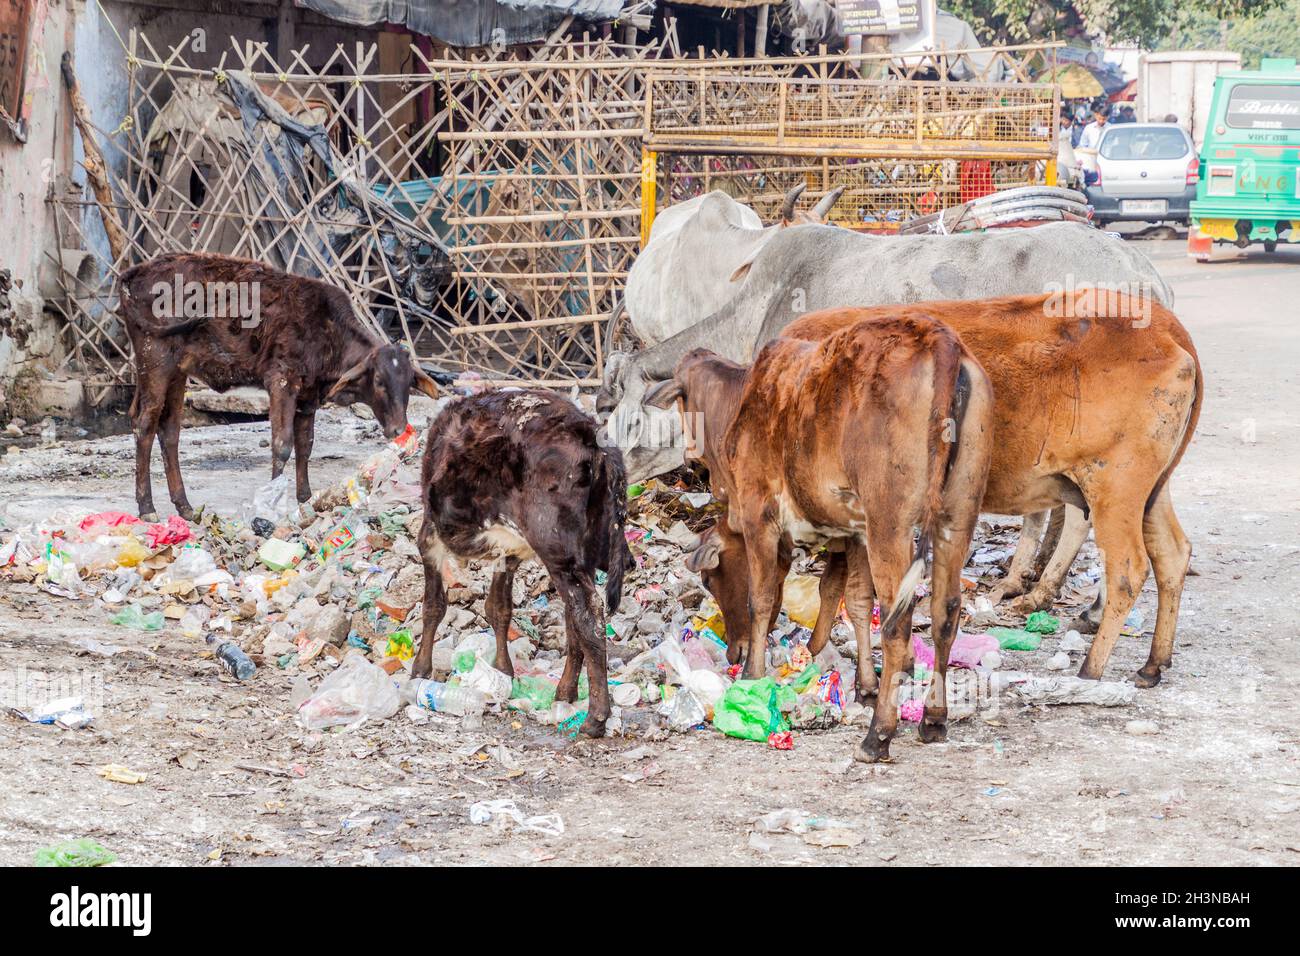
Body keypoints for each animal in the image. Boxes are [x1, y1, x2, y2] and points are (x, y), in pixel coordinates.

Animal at [118, 253, 444, 521]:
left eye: (409, 383)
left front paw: (305, 497)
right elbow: (283, 444)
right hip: (155, 361)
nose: (398, 428)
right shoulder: (281, 382)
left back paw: (184, 506)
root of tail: (136, 271)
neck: (328, 331)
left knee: (169, 430)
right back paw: (147, 507)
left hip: (177, 371)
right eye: (378, 380)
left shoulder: (309, 396)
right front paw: (273, 498)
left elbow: (305, 444)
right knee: (144, 424)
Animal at [410, 389, 632, 739]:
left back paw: (596, 717)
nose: (632, 561)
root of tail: (592, 438)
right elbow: (498, 608)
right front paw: (503, 671)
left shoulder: (429, 536)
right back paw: (566, 692)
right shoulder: (508, 553)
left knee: (588, 614)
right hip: (577, 554)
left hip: (556, 549)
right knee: (574, 615)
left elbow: (434, 605)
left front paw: (420, 670)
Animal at [645, 314, 995, 762]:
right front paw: (864, 684)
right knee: (945, 612)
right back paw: (933, 718)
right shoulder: (857, 532)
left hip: (891, 523)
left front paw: (753, 676)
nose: (732, 652)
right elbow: (858, 602)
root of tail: (940, 340)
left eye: (709, 578)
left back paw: (879, 735)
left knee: (898, 624)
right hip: (957, 514)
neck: (744, 395)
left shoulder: (760, 517)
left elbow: (761, 600)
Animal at [685, 293, 1202, 691]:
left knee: (1127, 569)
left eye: (712, 578)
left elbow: (830, 585)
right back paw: (1152, 663)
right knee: (1172, 554)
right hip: (1150, 490)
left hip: (1114, 486)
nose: (734, 651)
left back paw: (1091, 664)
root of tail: (1171, 330)